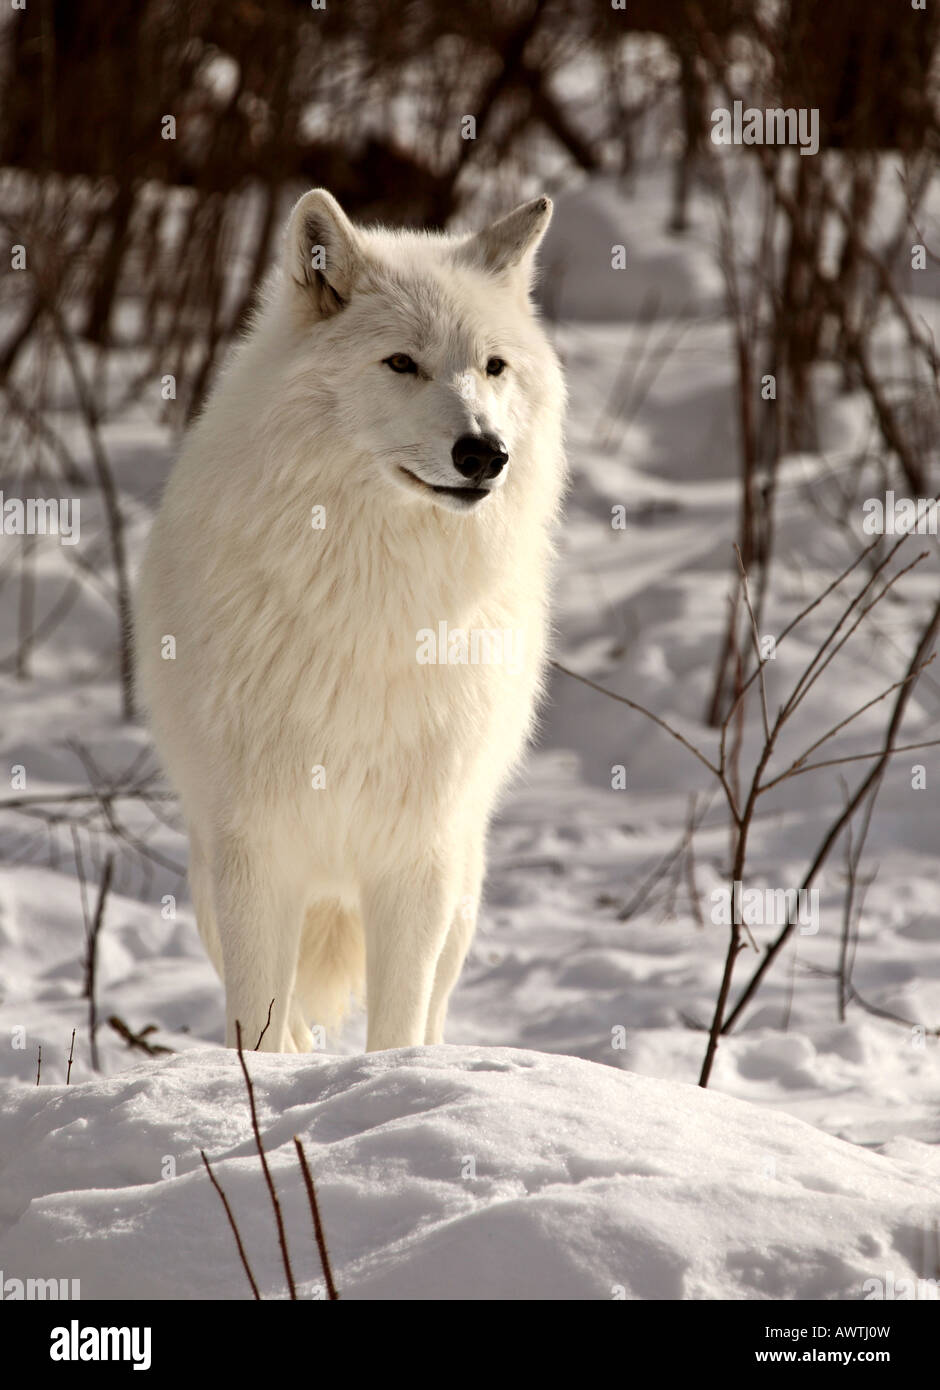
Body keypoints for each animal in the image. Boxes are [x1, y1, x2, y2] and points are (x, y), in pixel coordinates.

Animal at [134, 188, 566, 1052]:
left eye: (493, 366)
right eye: (401, 363)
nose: (483, 453)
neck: (374, 595)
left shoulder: (419, 853)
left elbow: (398, 1025)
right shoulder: (256, 848)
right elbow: (258, 1023)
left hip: (463, 887)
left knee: (433, 1009)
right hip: (207, 881)